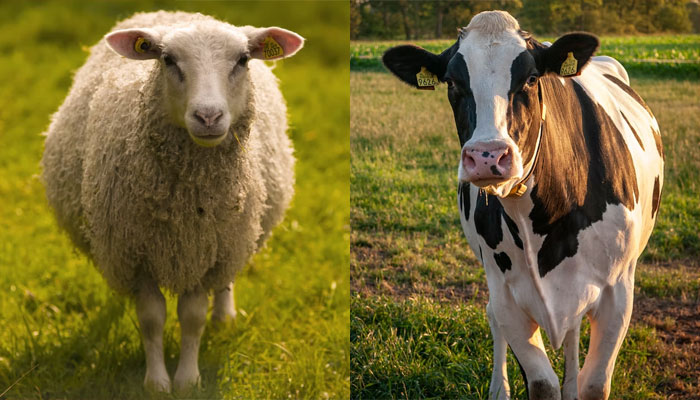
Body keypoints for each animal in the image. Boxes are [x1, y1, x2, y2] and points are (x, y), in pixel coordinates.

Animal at [382, 10, 664, 400]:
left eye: (531, 79)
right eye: (452, 83)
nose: (487, 156)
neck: (548, 219)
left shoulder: (617, 292)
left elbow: (594, 384)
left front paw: (577, 385)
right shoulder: (508, 296)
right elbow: (541, 383)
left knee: (572, 331)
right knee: (493, 316)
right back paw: (498, 389)